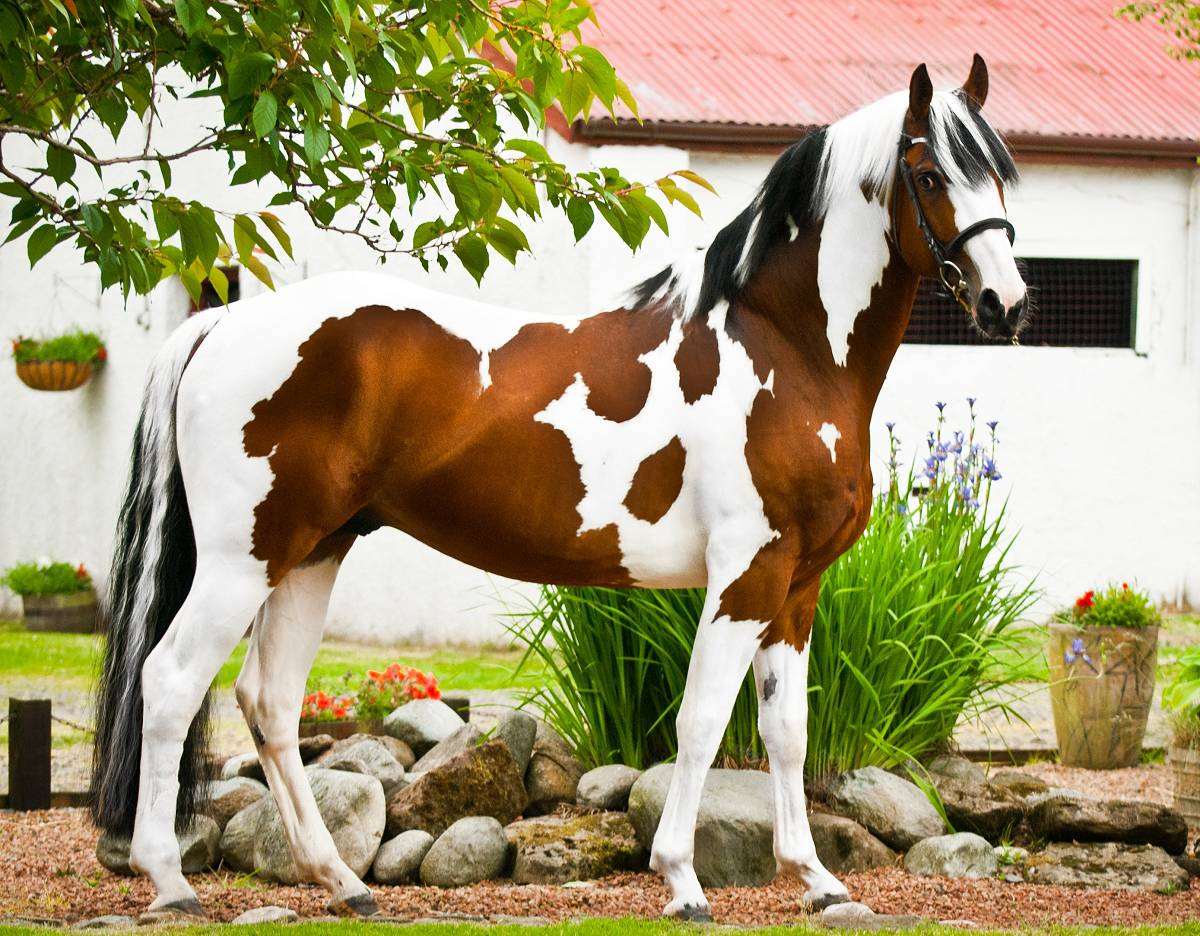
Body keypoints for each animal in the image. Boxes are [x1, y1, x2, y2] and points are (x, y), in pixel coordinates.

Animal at [91, 54, 1026, 921]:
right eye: (931, 173)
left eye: (999, 172)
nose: (1006, 304)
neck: (784, 349)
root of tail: (223, 322)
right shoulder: (744, 578)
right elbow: (699, 725)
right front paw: (683, 882)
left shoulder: (796, 589)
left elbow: (786, 733)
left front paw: (818, 882)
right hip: (241, 561)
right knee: (171, 680)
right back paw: (170, 882)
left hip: (311, 553)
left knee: (272, 704)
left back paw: (343, 883)